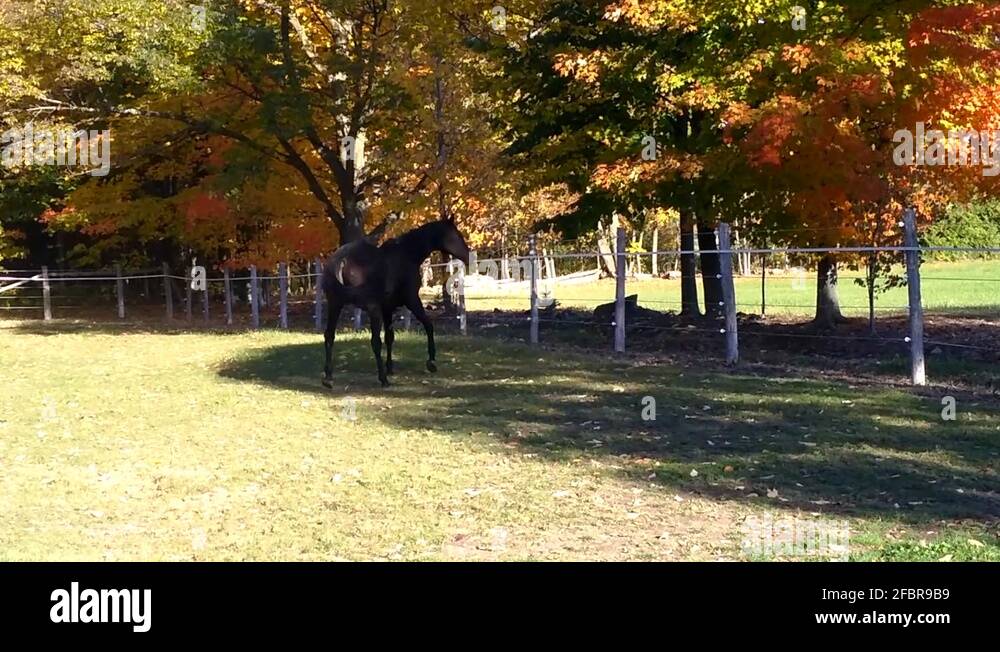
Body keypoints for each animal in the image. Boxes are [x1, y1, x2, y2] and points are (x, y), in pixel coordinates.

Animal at [320, 217, 471, 388]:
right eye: (454, 235)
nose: (467, 256)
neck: (407, 254)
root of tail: (343, 260)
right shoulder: (412, 300)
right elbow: (428, 326)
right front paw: (431, 362)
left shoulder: (387, 308)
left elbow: (390, 337)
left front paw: (390, 367)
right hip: (372, 309)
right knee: (375, 342)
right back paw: (383, 379)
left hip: (335, 305)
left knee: (329, 336)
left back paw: (328, 377)